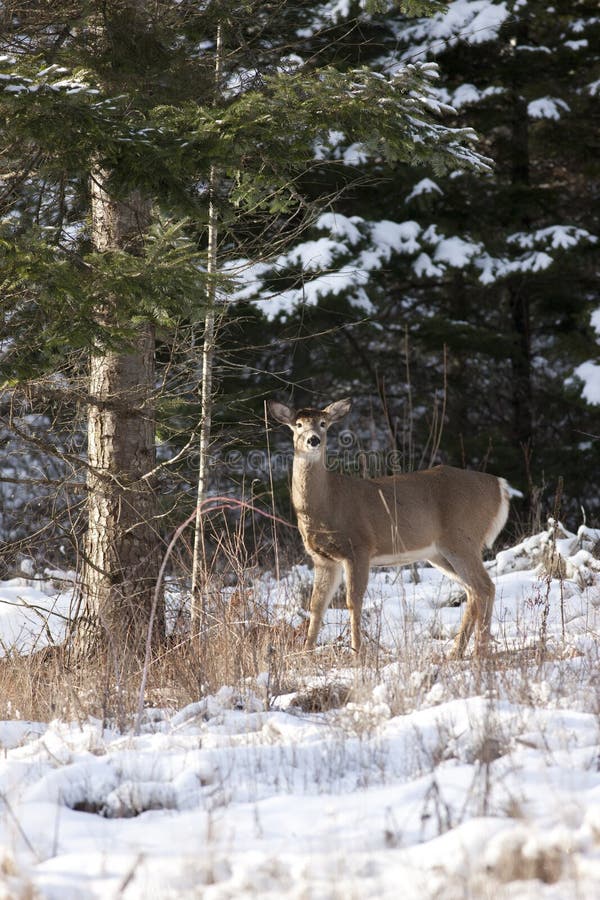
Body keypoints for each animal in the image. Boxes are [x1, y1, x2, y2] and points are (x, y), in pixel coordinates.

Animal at [268, 397, 510, 658]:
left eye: (323, 423)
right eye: (298, 424)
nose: (313, 439)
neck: (326, 503)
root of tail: (500, 486)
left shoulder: (359, 547)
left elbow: (353, 601)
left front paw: (357, 652)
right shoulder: (323, 558)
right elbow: (316, 605)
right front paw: (306, 652)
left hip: (462, 538)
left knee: (483, 587)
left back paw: (479, 653)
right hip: (440, 553)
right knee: (475, 590)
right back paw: (458, 652)